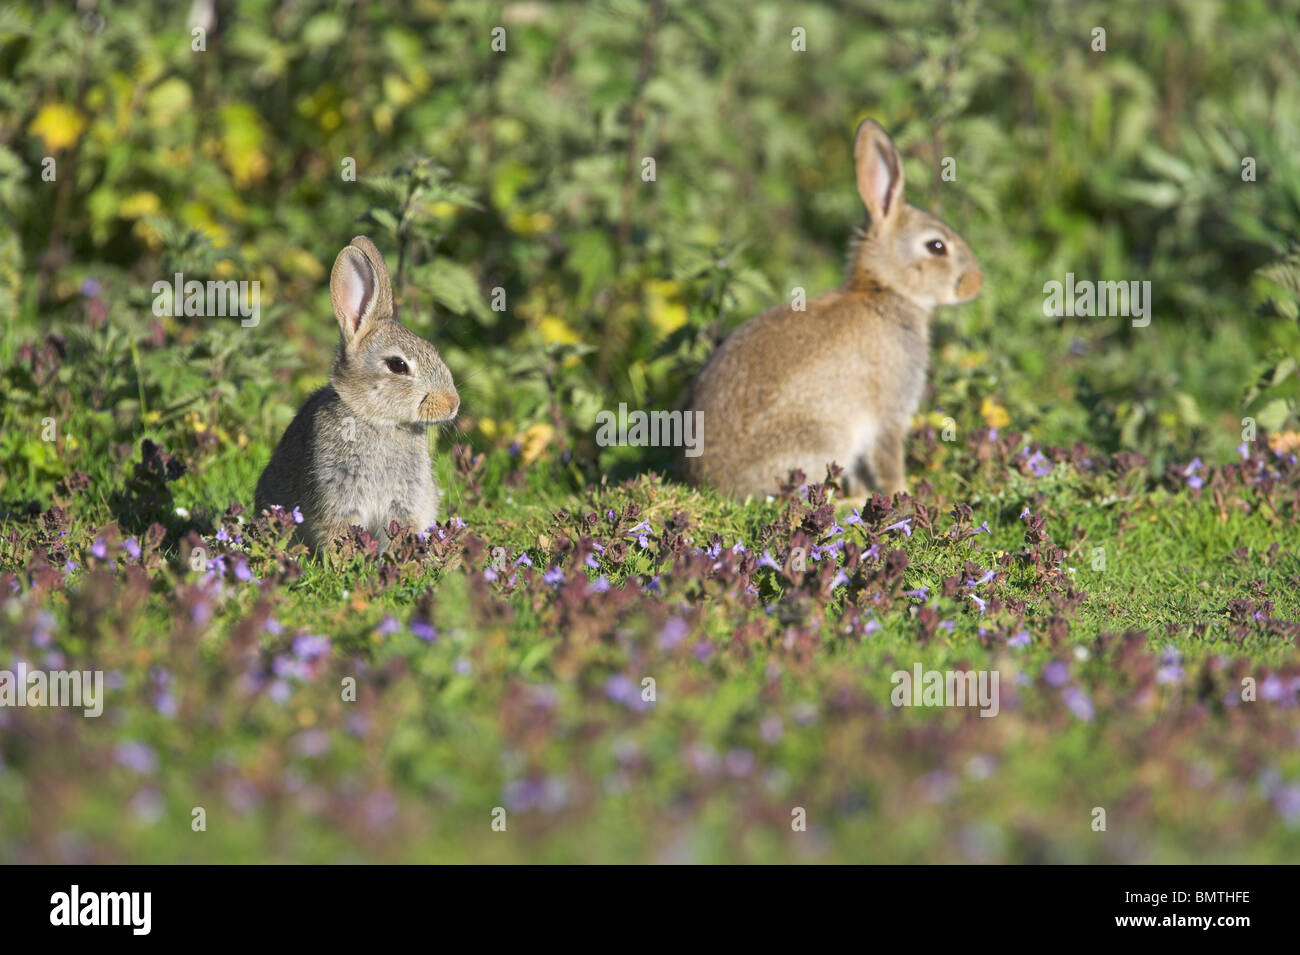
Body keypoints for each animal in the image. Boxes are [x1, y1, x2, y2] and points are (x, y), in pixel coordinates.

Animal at [254, 235, 460, 552]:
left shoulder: (403, 502)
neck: (376, 420)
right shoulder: (338, 500)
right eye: (398, 365)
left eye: (432, 349)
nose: (452, 404)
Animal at [684, 118, 982, 502]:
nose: (977, 282)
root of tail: (713, 485)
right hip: (821, 439)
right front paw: (906, 495)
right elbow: (888, 460)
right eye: (937, 246)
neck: (885, 291)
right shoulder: (888, 414)